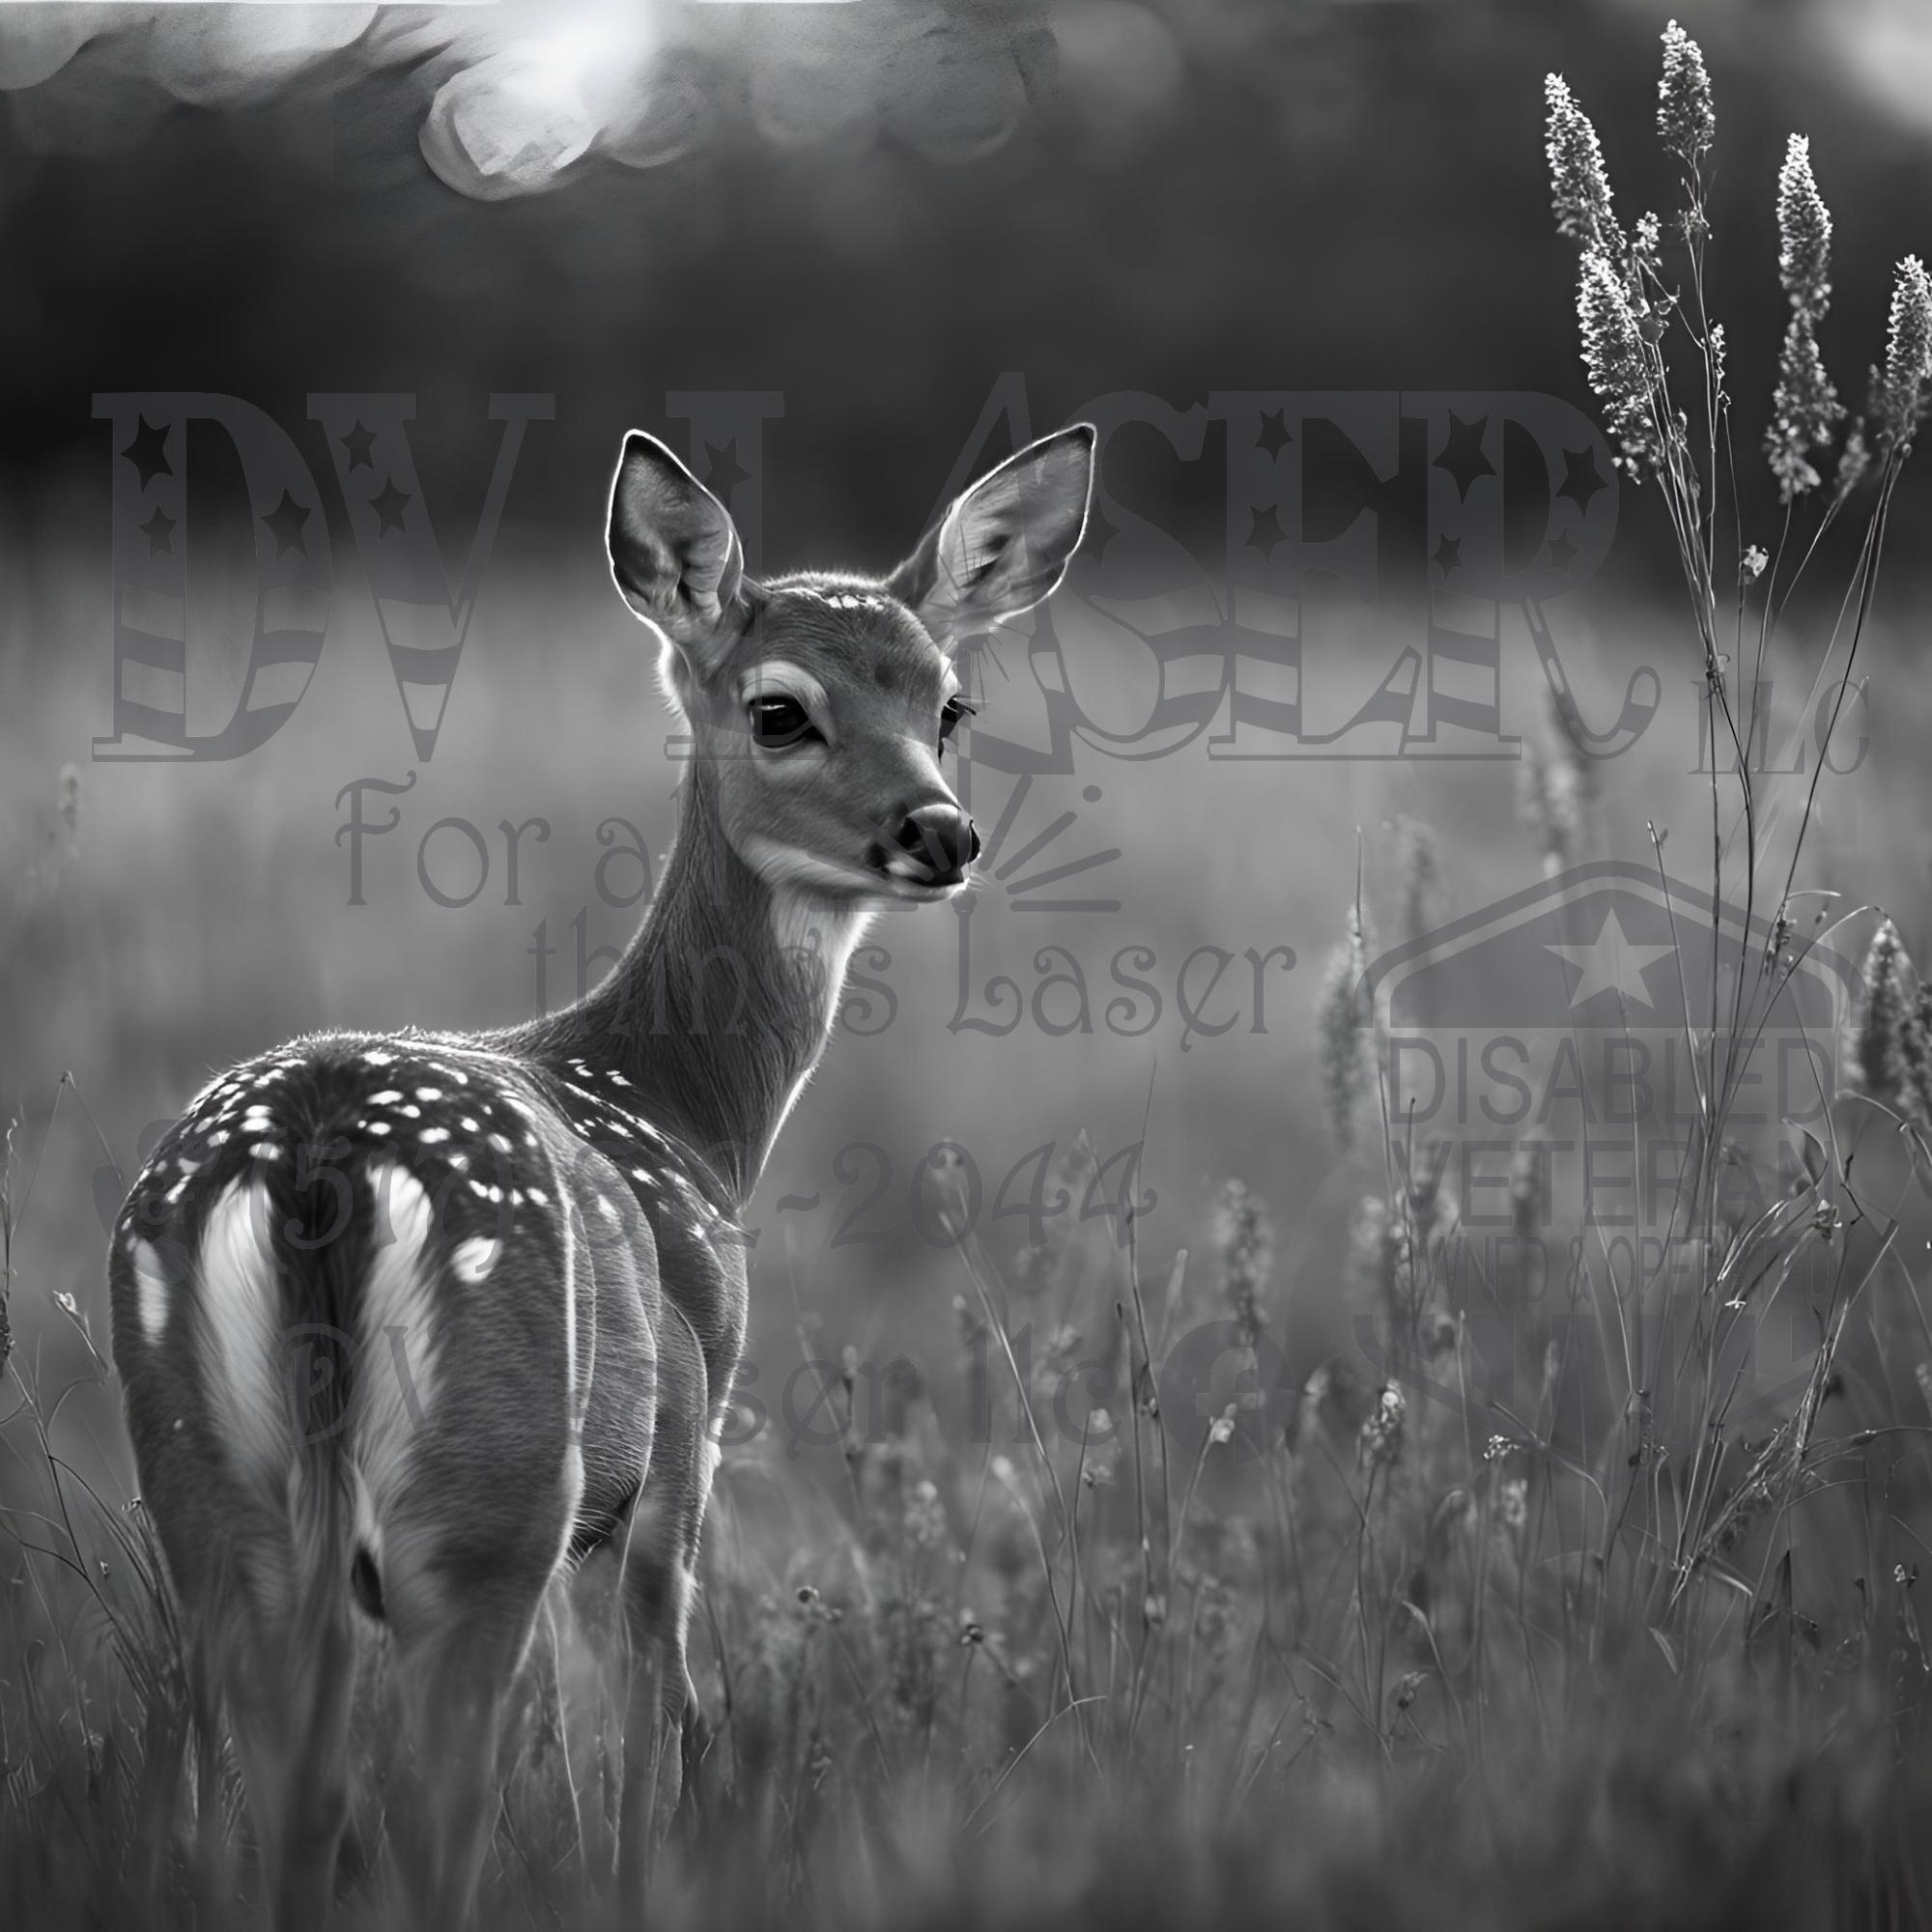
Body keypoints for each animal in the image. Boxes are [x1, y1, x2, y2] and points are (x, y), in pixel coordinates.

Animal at [105, 420, 1096, 1930]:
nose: (942, 833)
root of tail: (321, 1157)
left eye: (950, 705)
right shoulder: (681, 1440)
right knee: (433, 1811)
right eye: (780, 710)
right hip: (487, 1491)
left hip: (207, 1497)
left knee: (252, 1811)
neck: (677, 1112)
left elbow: (576, 1763)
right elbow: (645, 1744)